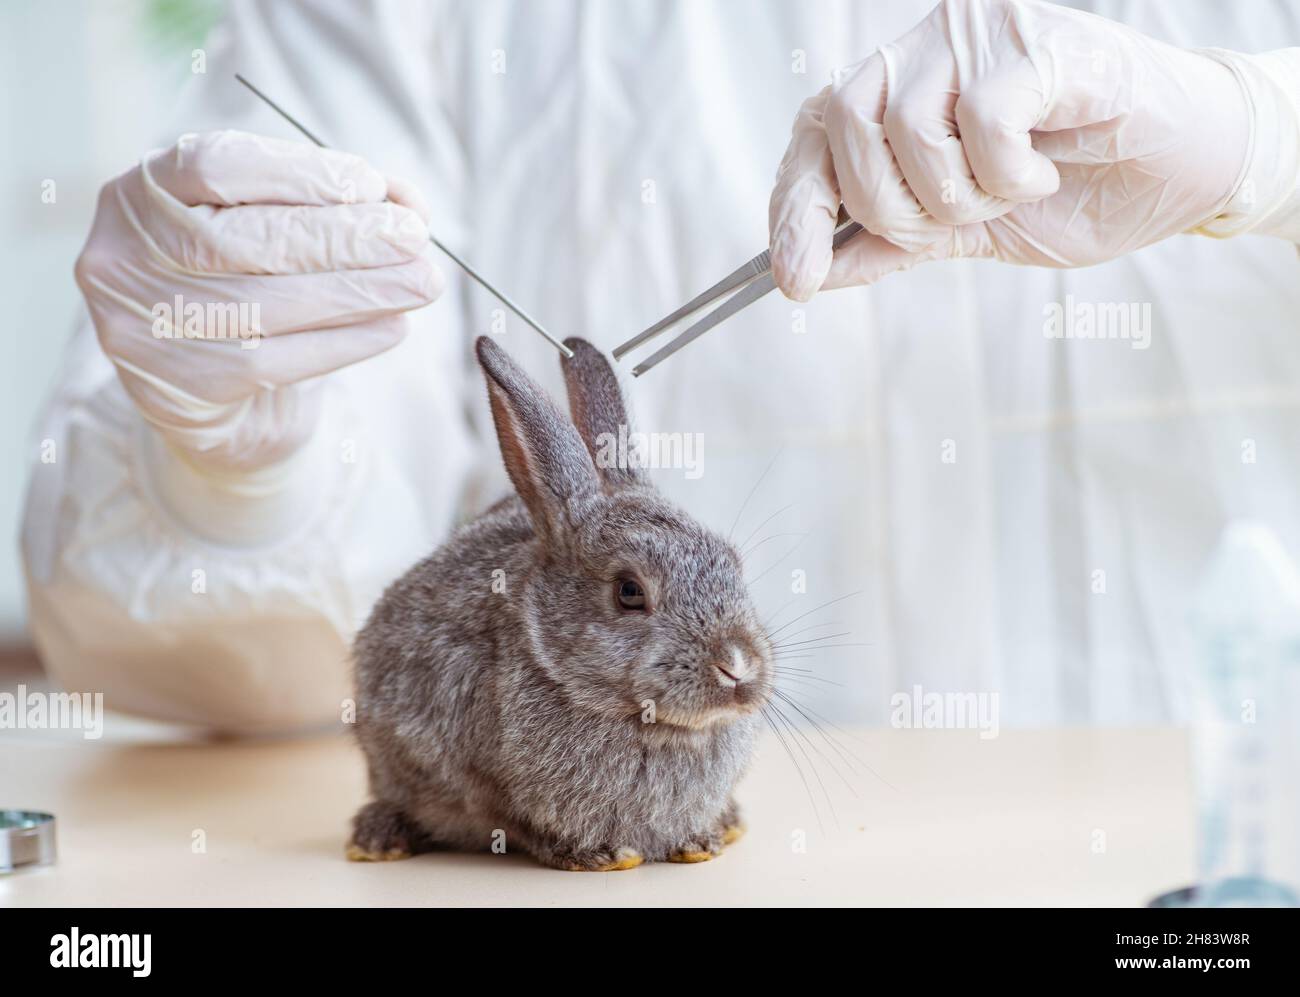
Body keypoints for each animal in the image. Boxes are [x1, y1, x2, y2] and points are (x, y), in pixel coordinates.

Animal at [346, 336, 773, 871]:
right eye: (629, 591)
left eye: (733, 561)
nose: (737, 667)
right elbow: (514, 819)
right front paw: (601, 855)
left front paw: (700, 841)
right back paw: (376, 840)